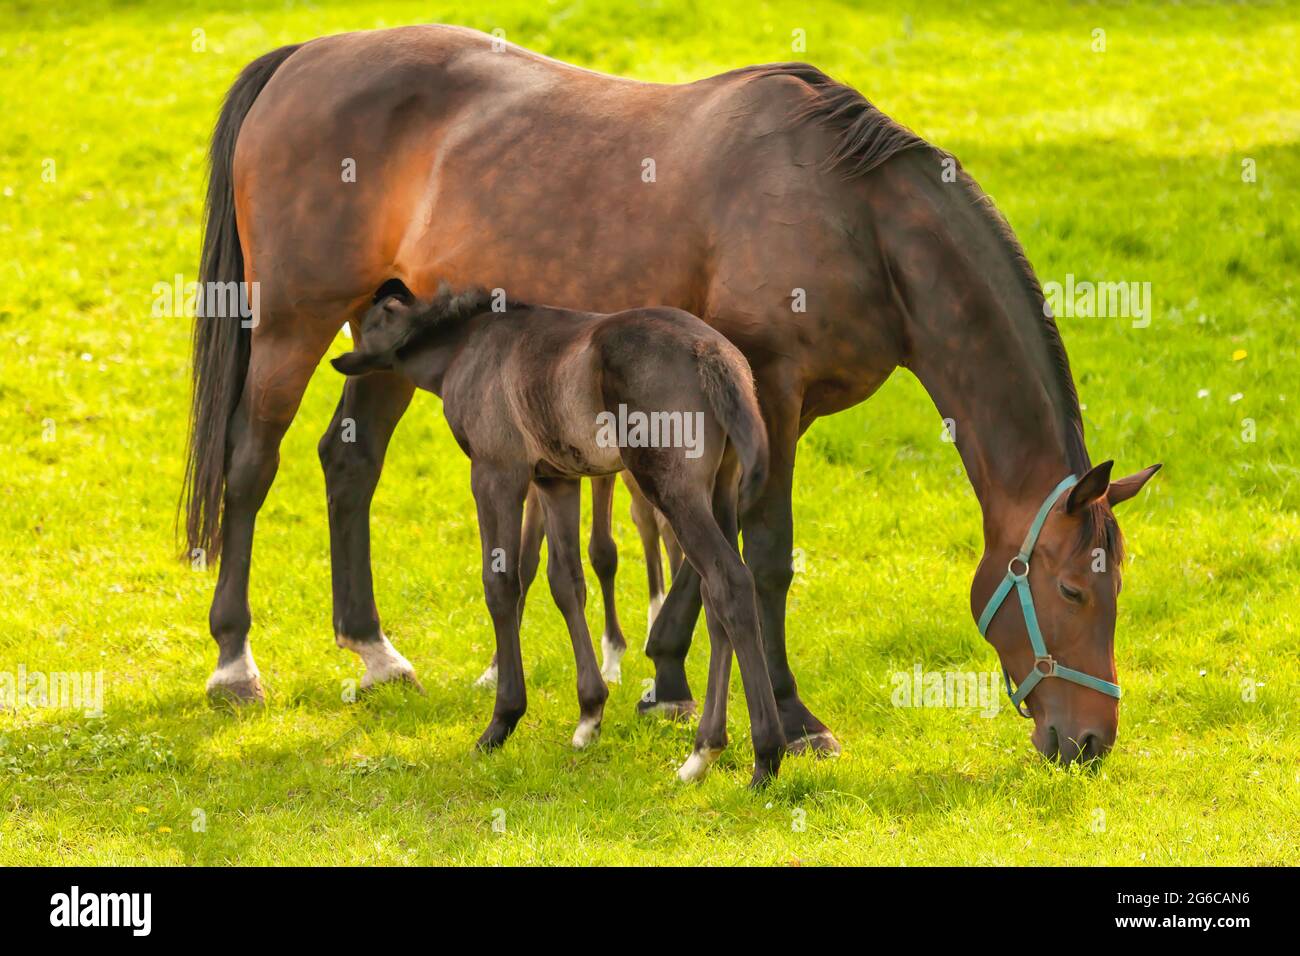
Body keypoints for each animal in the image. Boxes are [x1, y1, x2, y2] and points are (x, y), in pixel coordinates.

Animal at [332, 284, 781, 784]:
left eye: (369, 321)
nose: (340, 361)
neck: (468, 346)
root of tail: (715, 355)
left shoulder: (496, 473)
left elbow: (501, 584)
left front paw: (501, 722)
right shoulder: (556, 480)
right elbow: (567, 583)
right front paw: (590, 715)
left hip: (673, 488)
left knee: (729, 583)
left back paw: (762, 757)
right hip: (720, 489)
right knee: (714, 596)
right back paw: (702, 754)